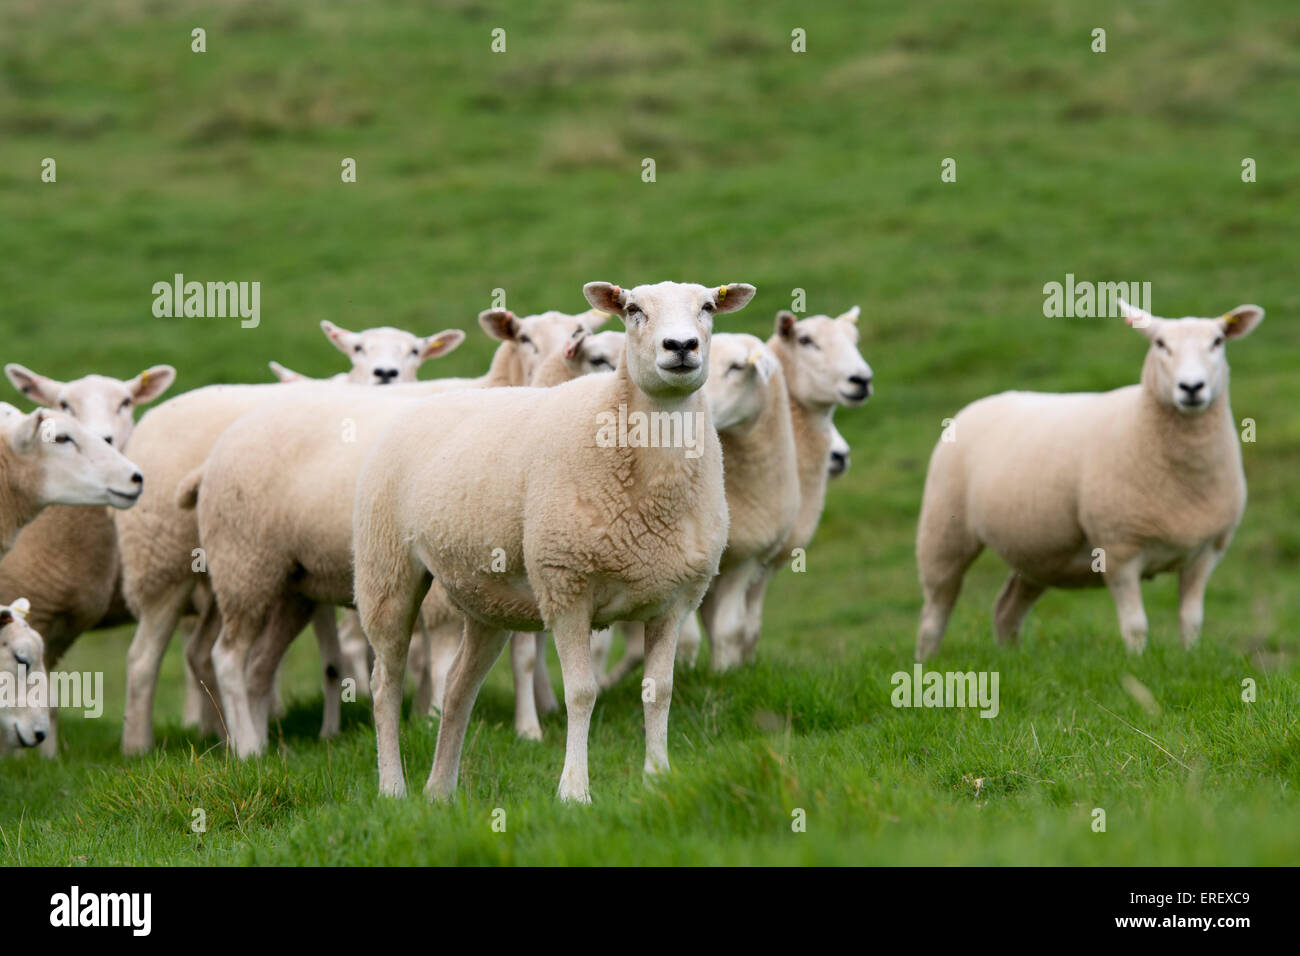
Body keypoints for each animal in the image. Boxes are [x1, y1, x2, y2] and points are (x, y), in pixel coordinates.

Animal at [116, 327, 463, 755]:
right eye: (357, 349)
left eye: (416, 351)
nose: (386, 373)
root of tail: (210, 462)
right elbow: (442, 652)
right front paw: (433, 719)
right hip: (214, 565)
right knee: (192, 657)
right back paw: (204, 748)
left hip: (278, 582)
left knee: (244, 661)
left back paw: (242, 739)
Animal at [353, 279, 755, 802]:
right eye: (632, 309)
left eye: (708, 306)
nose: (681, 346)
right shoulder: (567, 588)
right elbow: (581, 693)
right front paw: (574, 791)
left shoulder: (673, 601)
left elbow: (659, 691)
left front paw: (657, 777)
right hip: (386, 570)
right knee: (386, 683)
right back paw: (393, 788)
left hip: (486, 598)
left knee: (459, 686)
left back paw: (440, 791)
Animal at [915, 301, 1264, 659]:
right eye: (1160, 344)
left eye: (1218, 341)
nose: (1191, 388)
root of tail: (981, 403)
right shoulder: (1119, 549)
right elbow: (1136, 626)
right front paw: (1136, 664)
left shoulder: (1206, 553)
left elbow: (1191, 621)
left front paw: (1189, 658)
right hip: (944, 532)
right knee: (934, 613)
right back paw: (926, 662)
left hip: (1039, 553)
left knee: (1006, 609)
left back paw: (1010, 658)